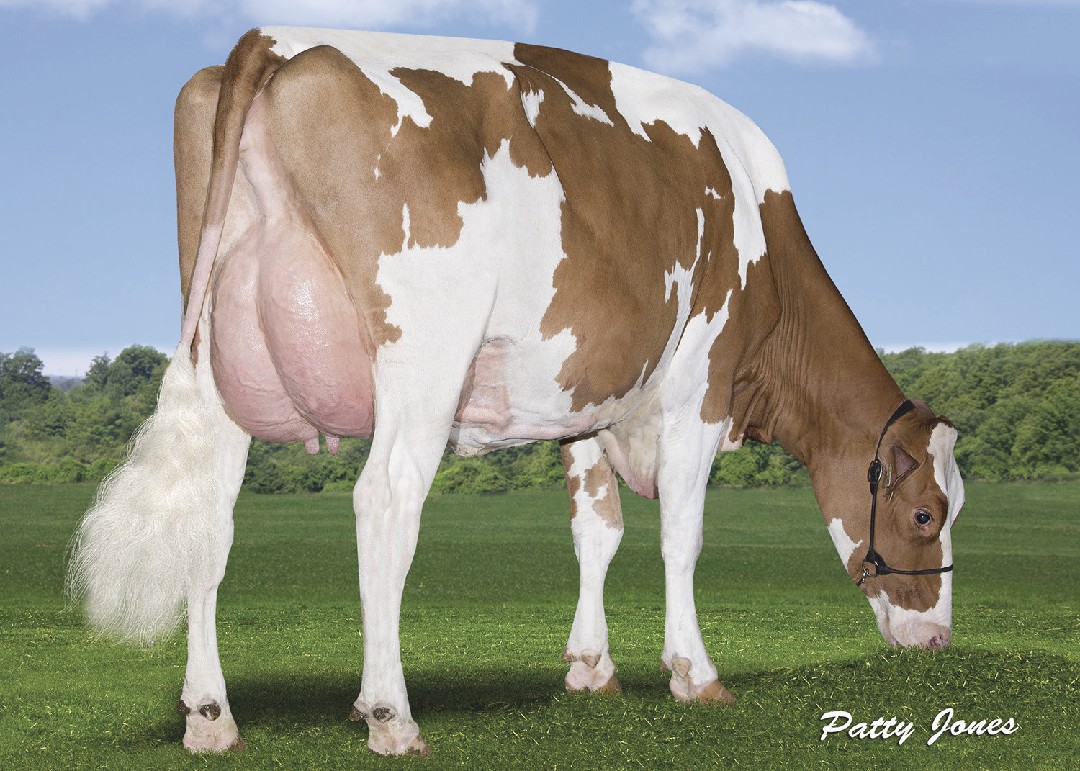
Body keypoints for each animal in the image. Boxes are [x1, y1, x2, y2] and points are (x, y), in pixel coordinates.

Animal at [68, 27, 965, 757]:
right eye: (925, 513)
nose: (938, 640)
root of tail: (277, 41)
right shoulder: (700, 387)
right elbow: (682, 536)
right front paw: (695, 673)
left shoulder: (590, 409)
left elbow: (596, 533)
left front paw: (591, 667)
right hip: (424, 360)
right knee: (384, 502)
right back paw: (391, 713)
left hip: (215, 362)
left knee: (207, 521)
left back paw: (211, 716)